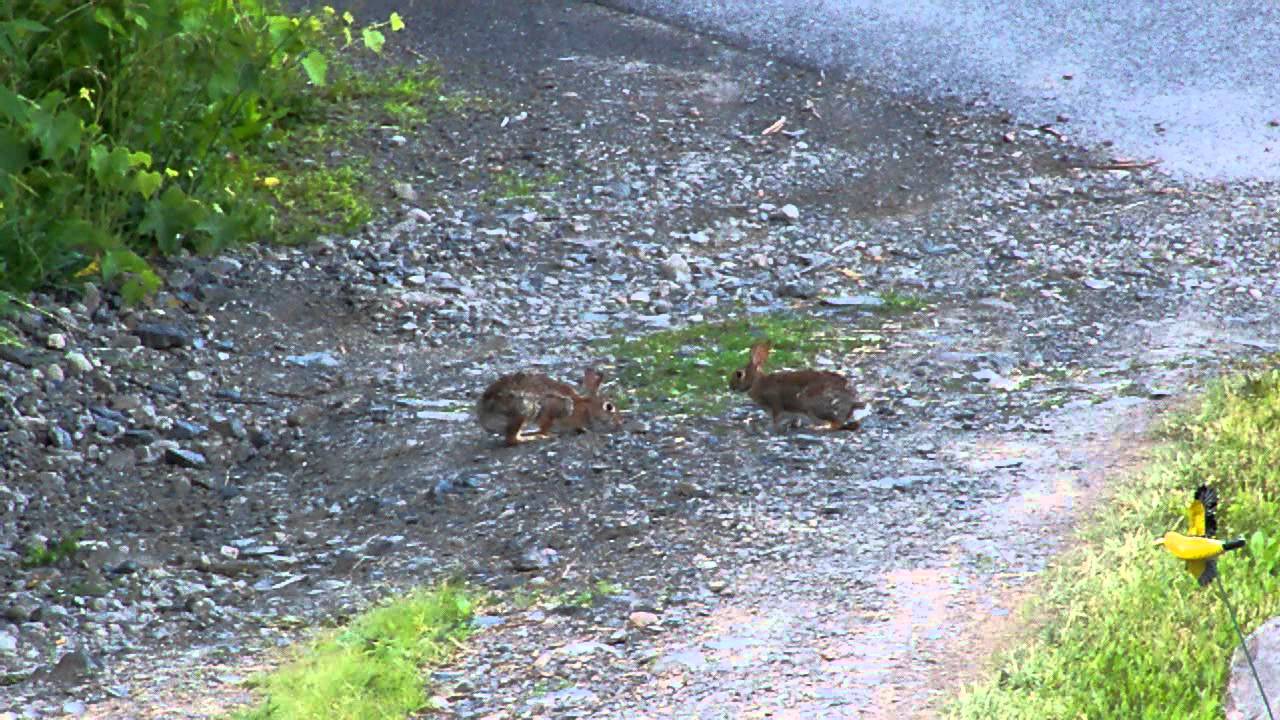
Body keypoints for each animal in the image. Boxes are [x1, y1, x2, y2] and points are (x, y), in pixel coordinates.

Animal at [476, 367, 620, 446]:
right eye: (609, 407)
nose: (620, 422)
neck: (585, 408)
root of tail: (484, 418)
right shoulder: (551, 410)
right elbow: (545, 427)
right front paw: (548, 435)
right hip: (521, 411)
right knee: (512, 439)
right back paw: (532, 438)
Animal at [729, 342, 862, 431]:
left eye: (739, 374)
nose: (730, 386)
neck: (757, 382)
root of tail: (850, 403)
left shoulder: (775, 403)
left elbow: (776, 417)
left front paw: (770, 427)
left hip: (814, 404)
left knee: (835, 423)